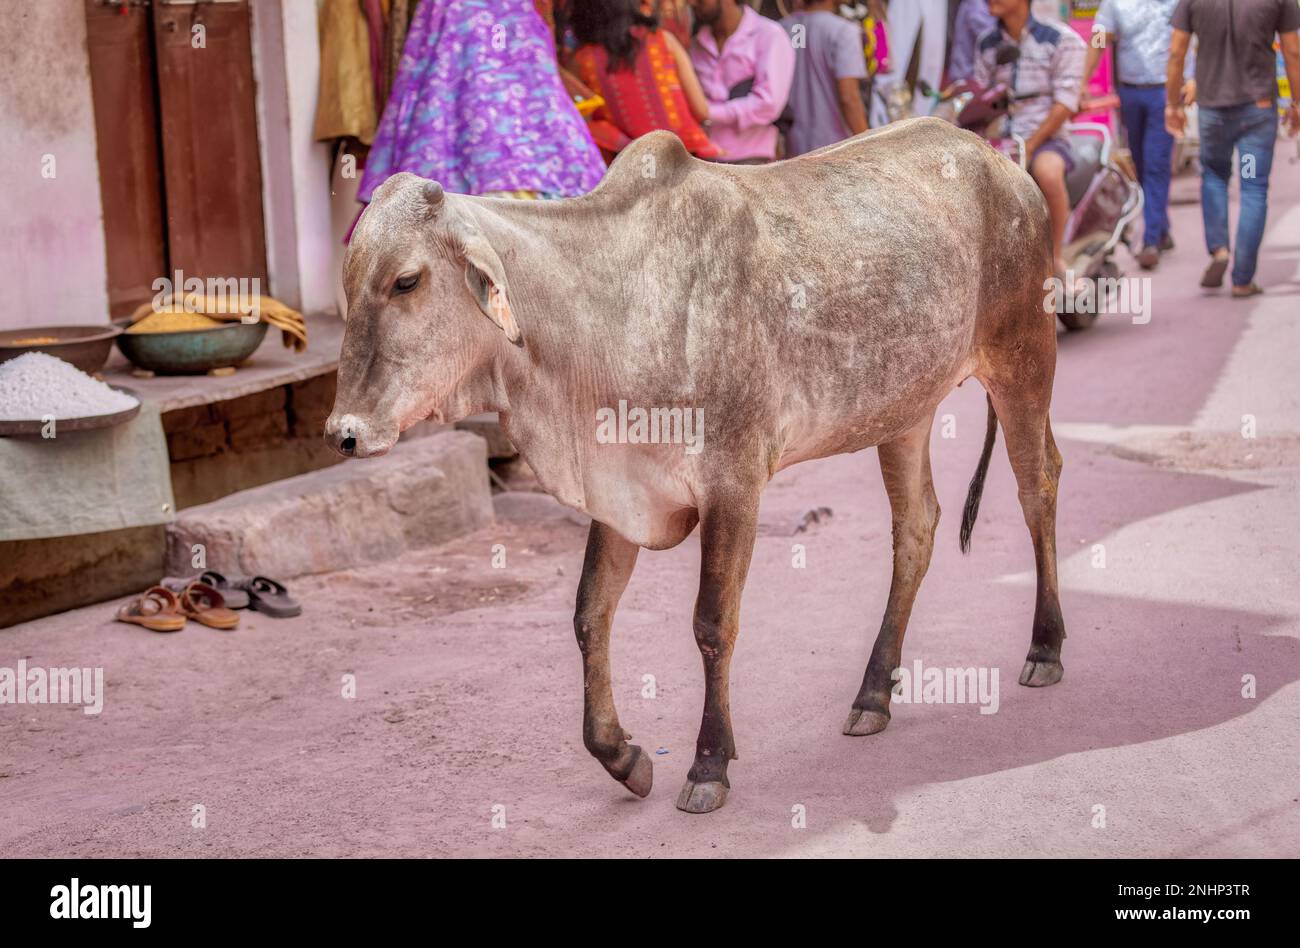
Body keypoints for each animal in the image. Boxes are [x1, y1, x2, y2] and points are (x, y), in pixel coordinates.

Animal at [325, 118, 1066, 814]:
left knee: (1038, 488)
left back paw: (1045, 648)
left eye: (407, 280)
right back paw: (874, 693)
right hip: (904, 413)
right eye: (349, 285)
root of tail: (996, 159)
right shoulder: (619, 490)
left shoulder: (733, 484)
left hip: (1023, 355)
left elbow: (712, 623)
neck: (604, 311)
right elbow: (590, 613)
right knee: (916, 528)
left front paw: (709, 764)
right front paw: (622, 755)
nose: (342, 432)